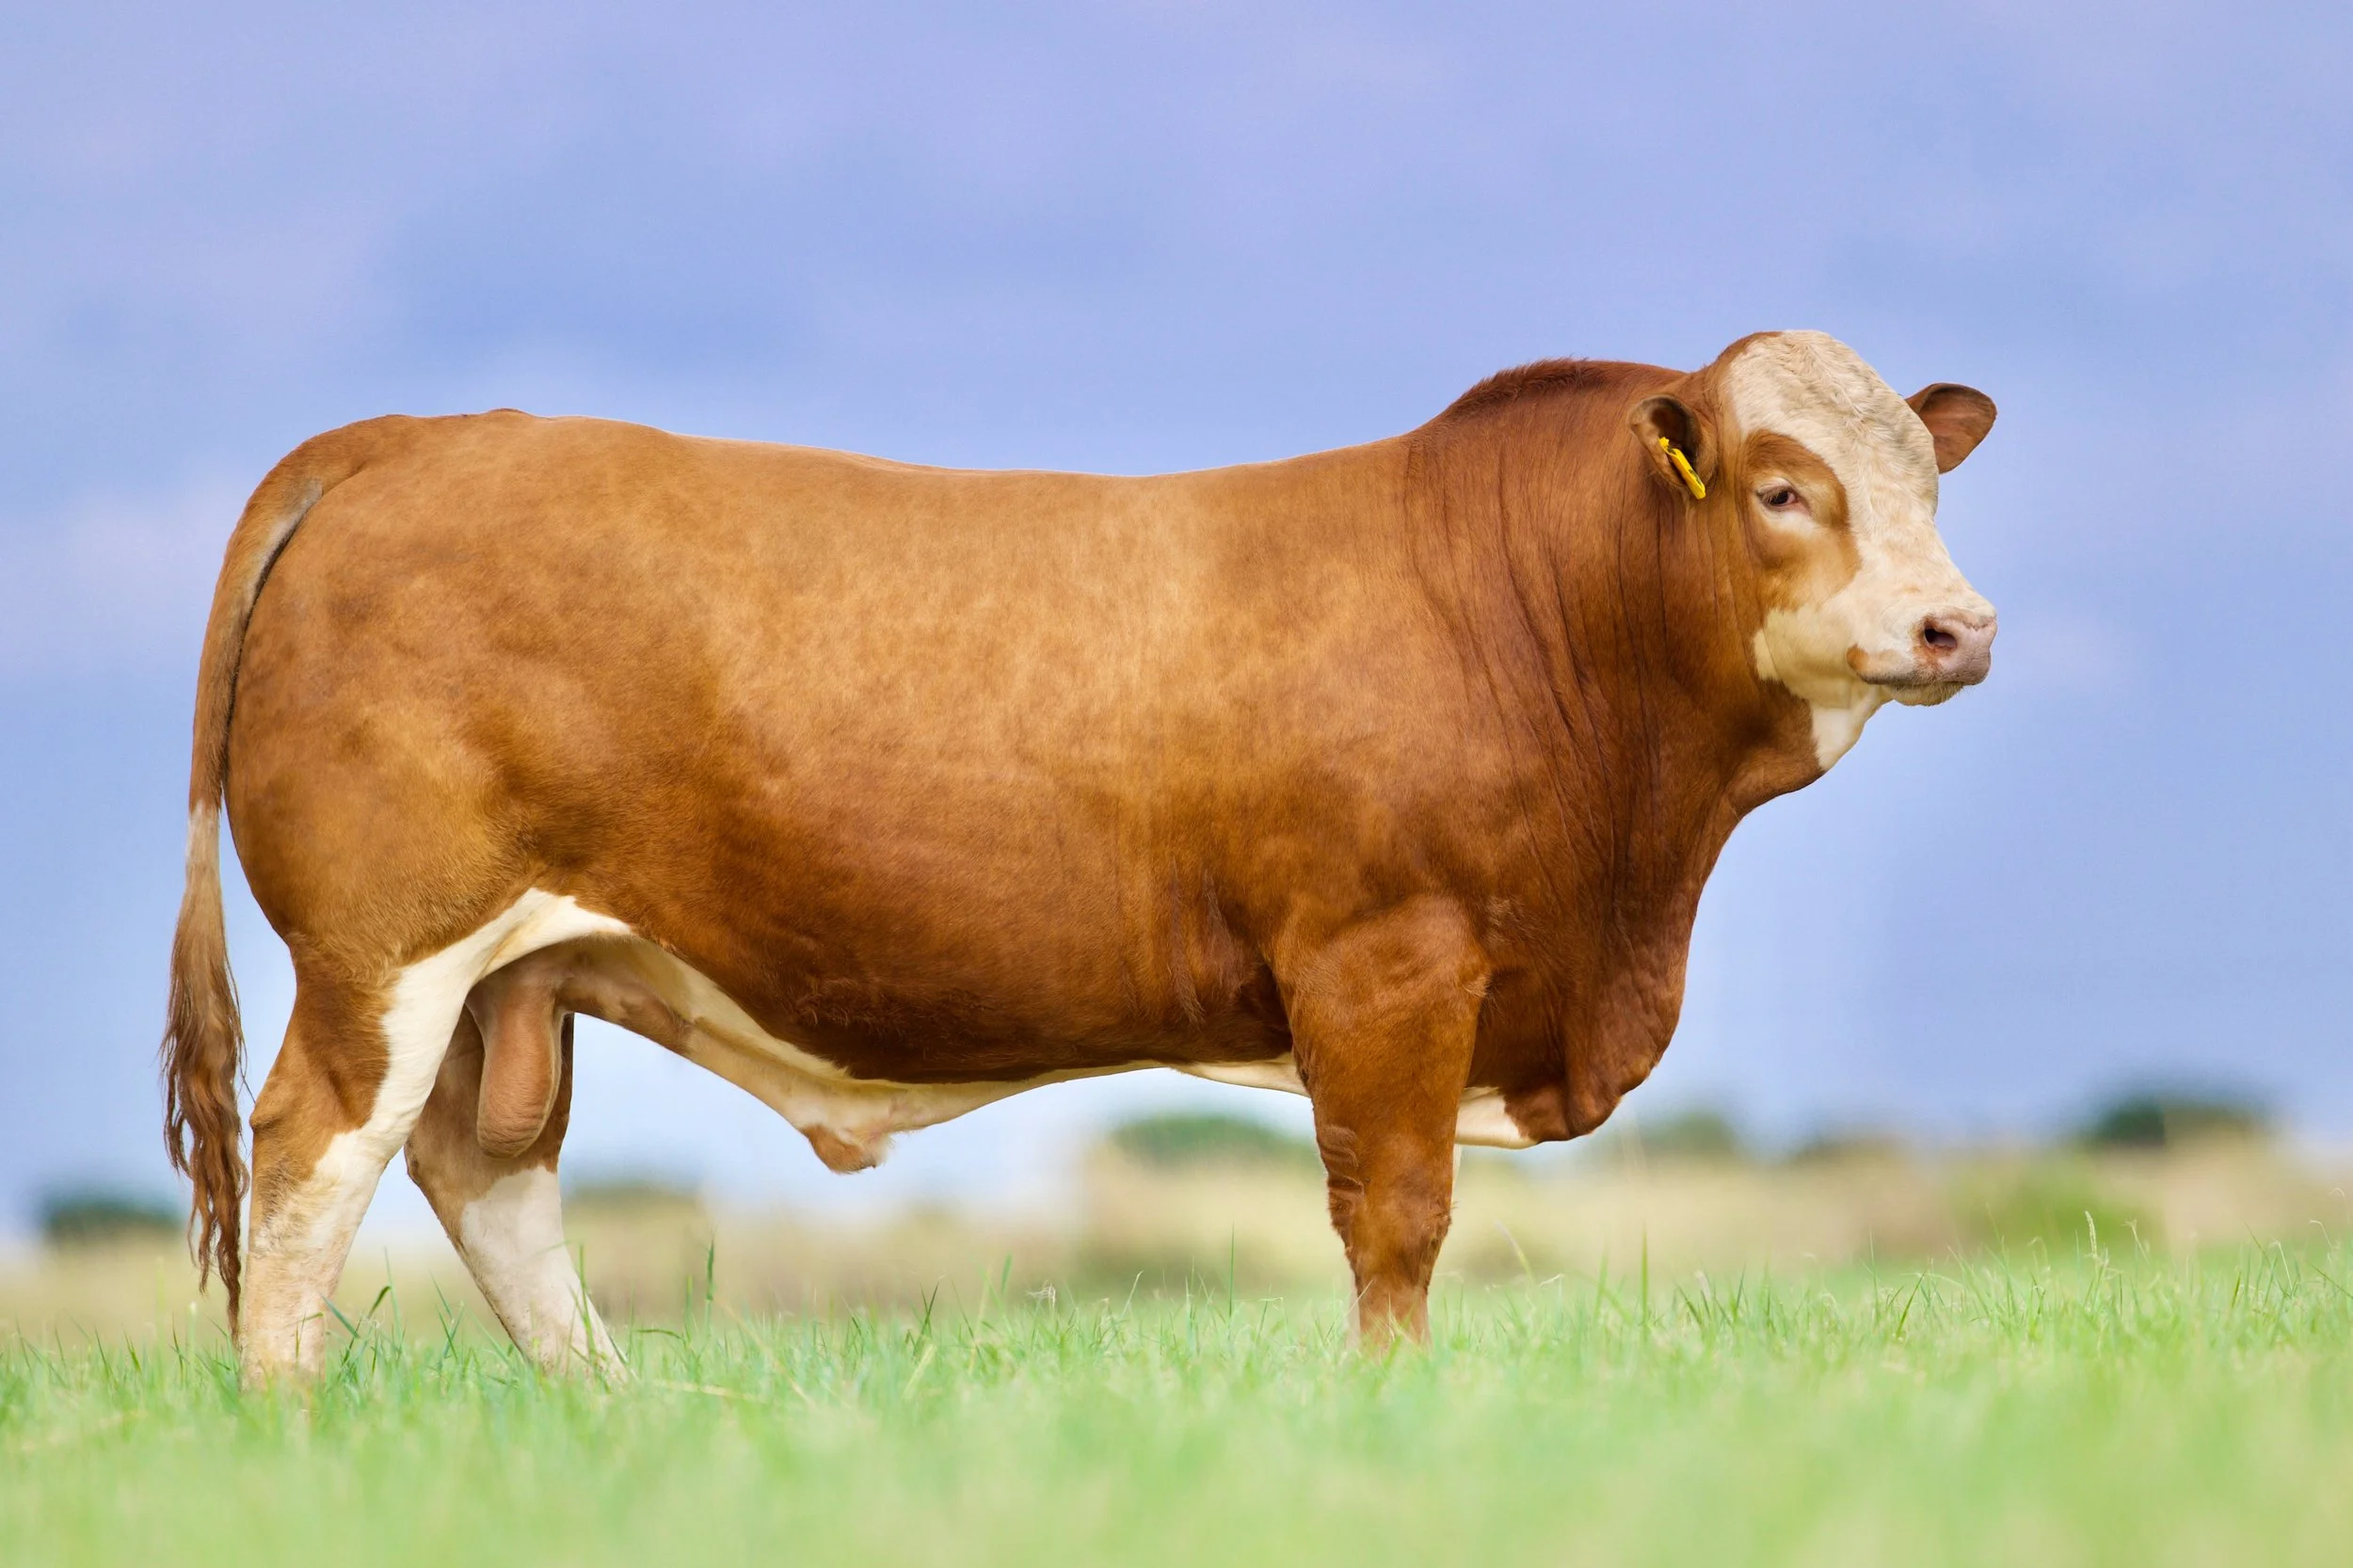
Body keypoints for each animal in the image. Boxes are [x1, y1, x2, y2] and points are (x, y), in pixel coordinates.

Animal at [161, 330, 1997, 1381]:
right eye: (1781, 488)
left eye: (1928, 476)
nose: (1956, 625)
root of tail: (417, 433)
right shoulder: (1383, 958)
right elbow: (1396, 1217)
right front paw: (1392, 1406)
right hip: (388, 947)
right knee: (314, 1154)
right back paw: (288, 1420)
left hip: (508, 976)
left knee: (482, 1172)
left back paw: (610, 1407)